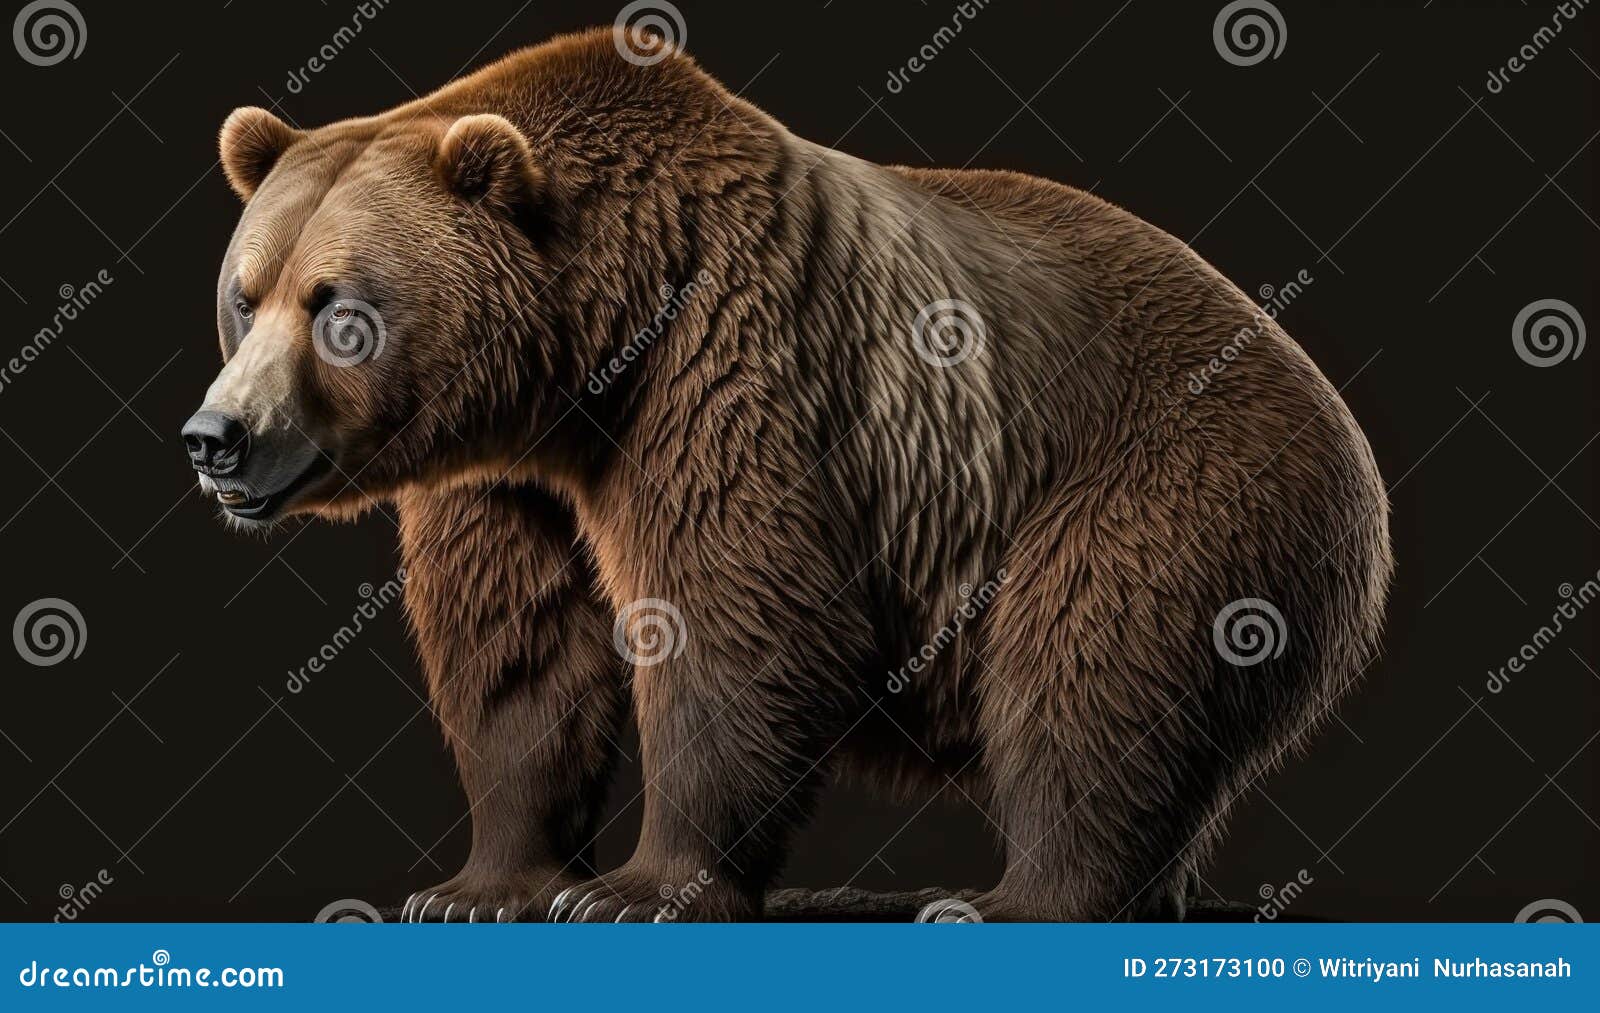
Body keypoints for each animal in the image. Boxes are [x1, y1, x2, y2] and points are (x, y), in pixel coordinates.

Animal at [181, 26, 1391, 922]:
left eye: (338, 307)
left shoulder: (732, 363)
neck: (583, 353)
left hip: (1177, 477)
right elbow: (515, 645)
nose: (216, 434)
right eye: (246, 292)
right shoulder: (504, 473)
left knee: (1089, 659)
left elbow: (739, 614)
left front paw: (634, 889)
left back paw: (1014, 898)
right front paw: (482, 885)